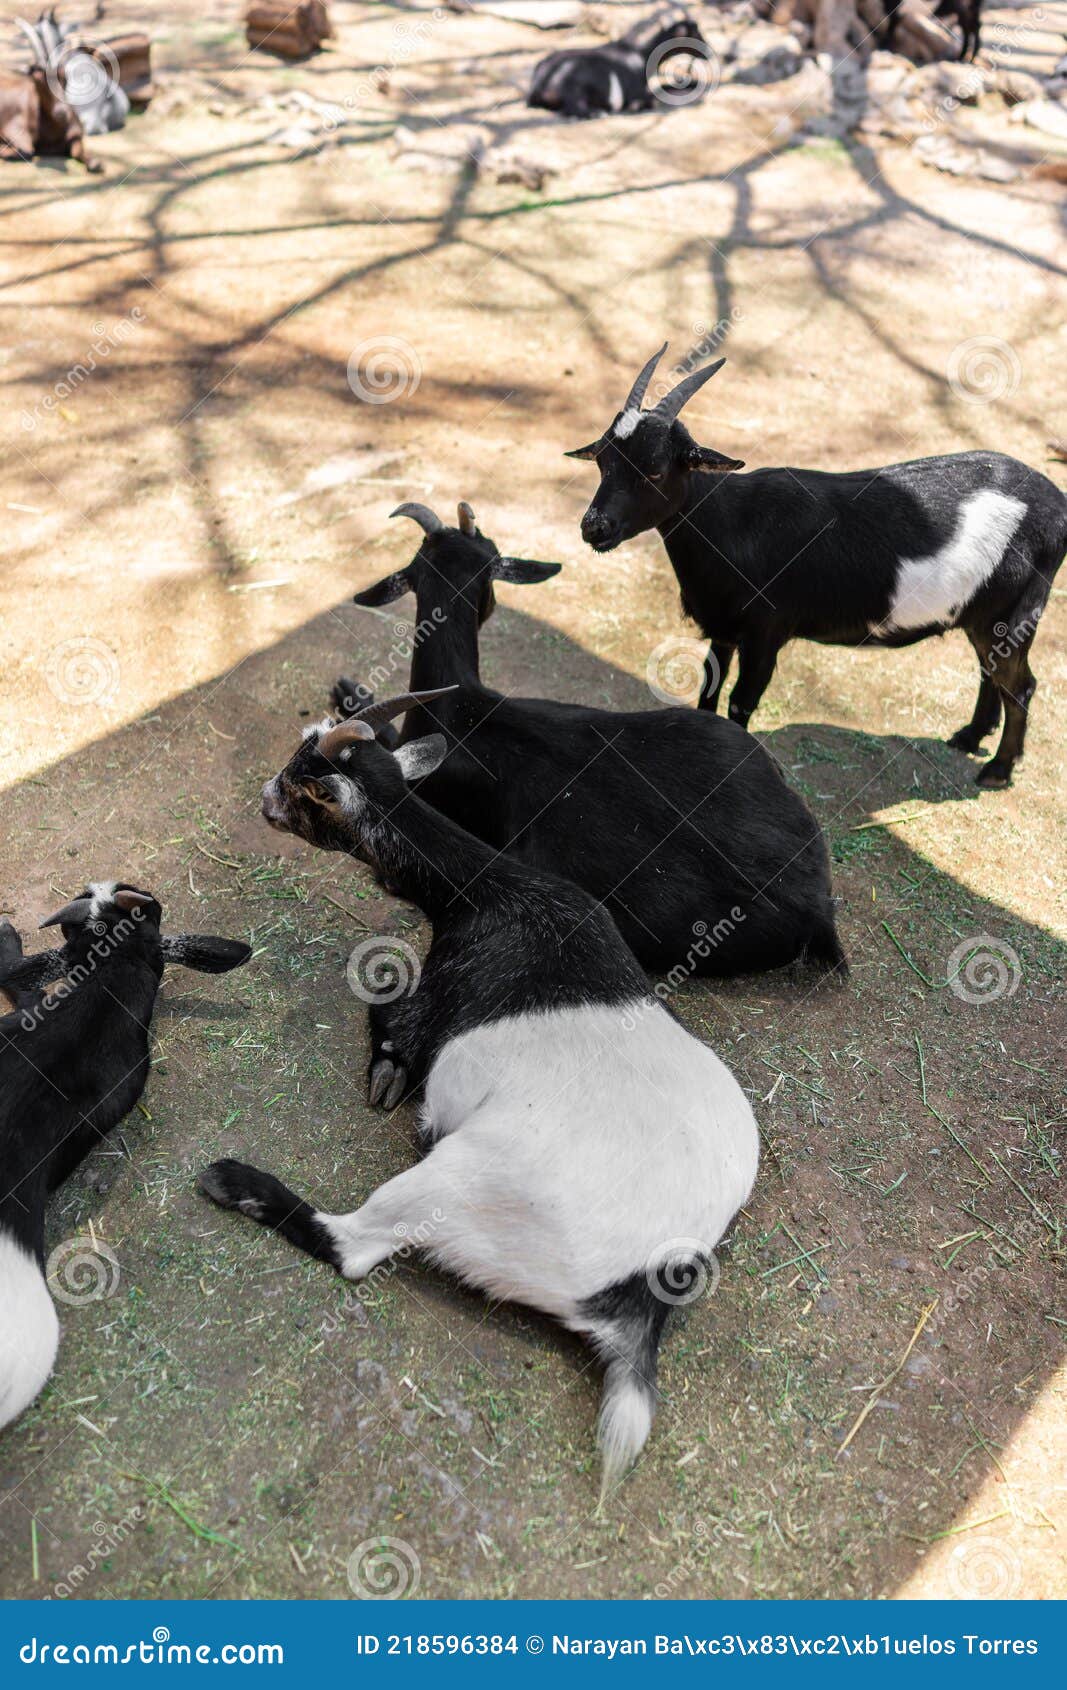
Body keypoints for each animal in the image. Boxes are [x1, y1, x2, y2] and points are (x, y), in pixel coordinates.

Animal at [201, 694, 760, 1493]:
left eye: (302, 776)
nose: (263, 798)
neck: (491, 890)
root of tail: (648, 1281)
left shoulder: (438, 995)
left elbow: (389, 1019)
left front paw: (388, 1075)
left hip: (451, 1186)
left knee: (355, 1247)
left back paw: (233, 1181)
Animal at [528, 9, 707, 120]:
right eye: (696, 33)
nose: (708, 51)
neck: (642, 53)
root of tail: (539, 82)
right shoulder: (638, 91)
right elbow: (650, 99)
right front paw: (637, 105)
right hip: (574, 83)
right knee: (573, 107)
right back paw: (596, 113)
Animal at [570, 346, 1067, 790]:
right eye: (602, 460)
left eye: (654, 471)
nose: (594, 527)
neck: (730, 522)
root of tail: (1057, 504)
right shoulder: (723, 628)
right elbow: (709, 692)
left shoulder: (765, 634)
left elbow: (740, 703)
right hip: (982, 615)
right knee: (990, 670)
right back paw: (969, 737)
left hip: (1016, 612)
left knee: (1020, 686)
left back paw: (998, 771)